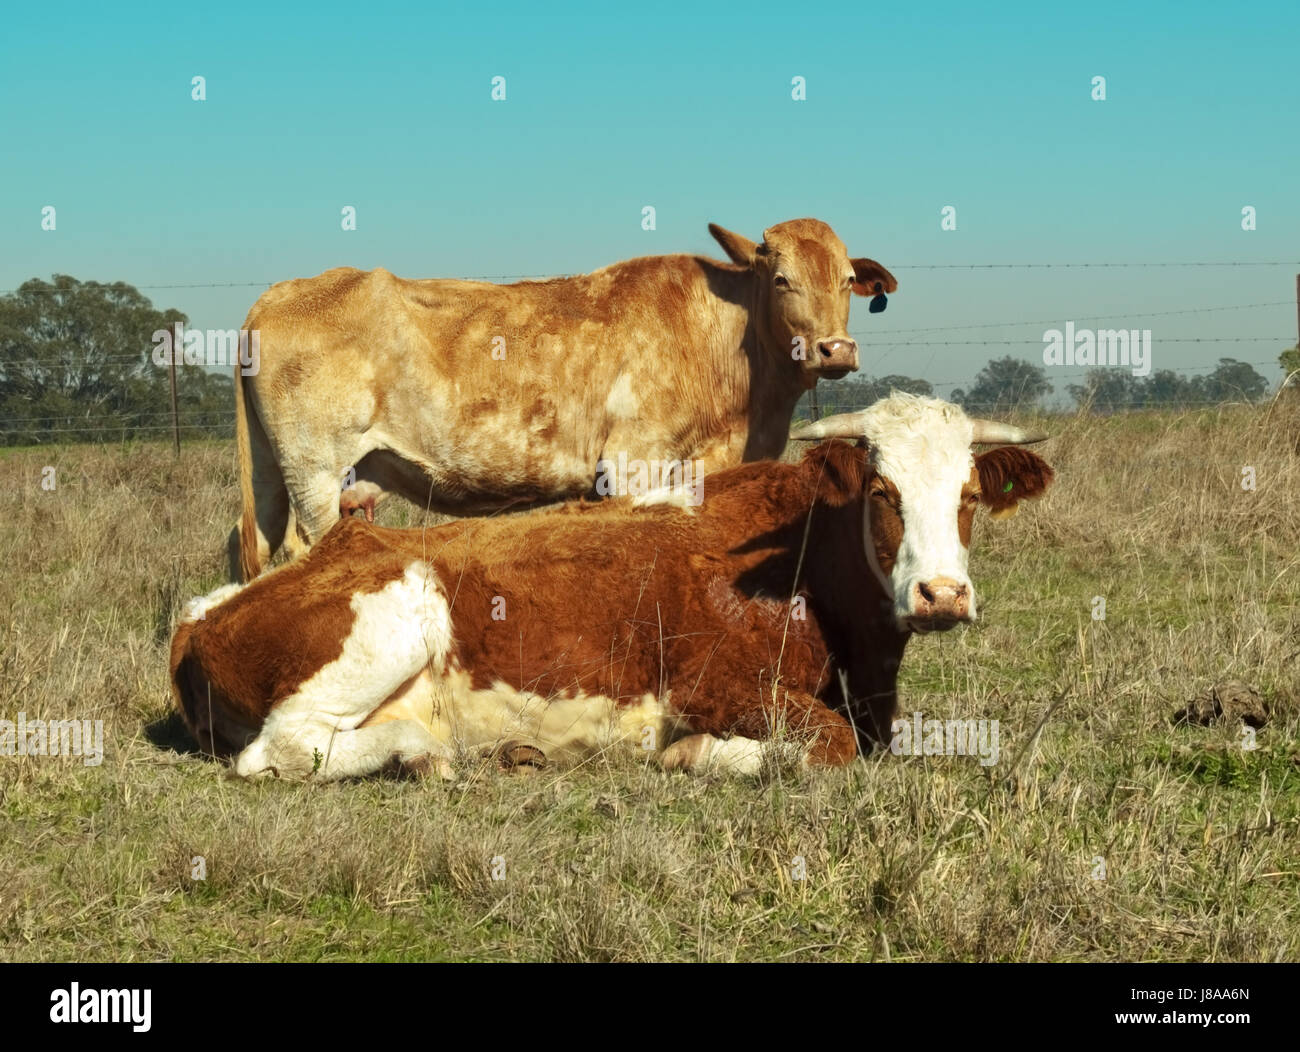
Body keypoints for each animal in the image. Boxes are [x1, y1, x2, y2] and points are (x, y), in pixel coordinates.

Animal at [177, 394, 1053, 781]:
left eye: (969, 496)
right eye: (882, 492)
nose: (942, 594)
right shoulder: (714, 684)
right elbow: (828, 745)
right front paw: (698, 753)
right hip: (400, 613)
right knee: (282, 748)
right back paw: (426, 752)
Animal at [229, 218, 898, 581]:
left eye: (847, 281)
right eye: (782, 279)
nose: (836, 350)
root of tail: (280, 293)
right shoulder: (633, 461)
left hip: (274, 472)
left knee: (253, 543)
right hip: (316, 473)